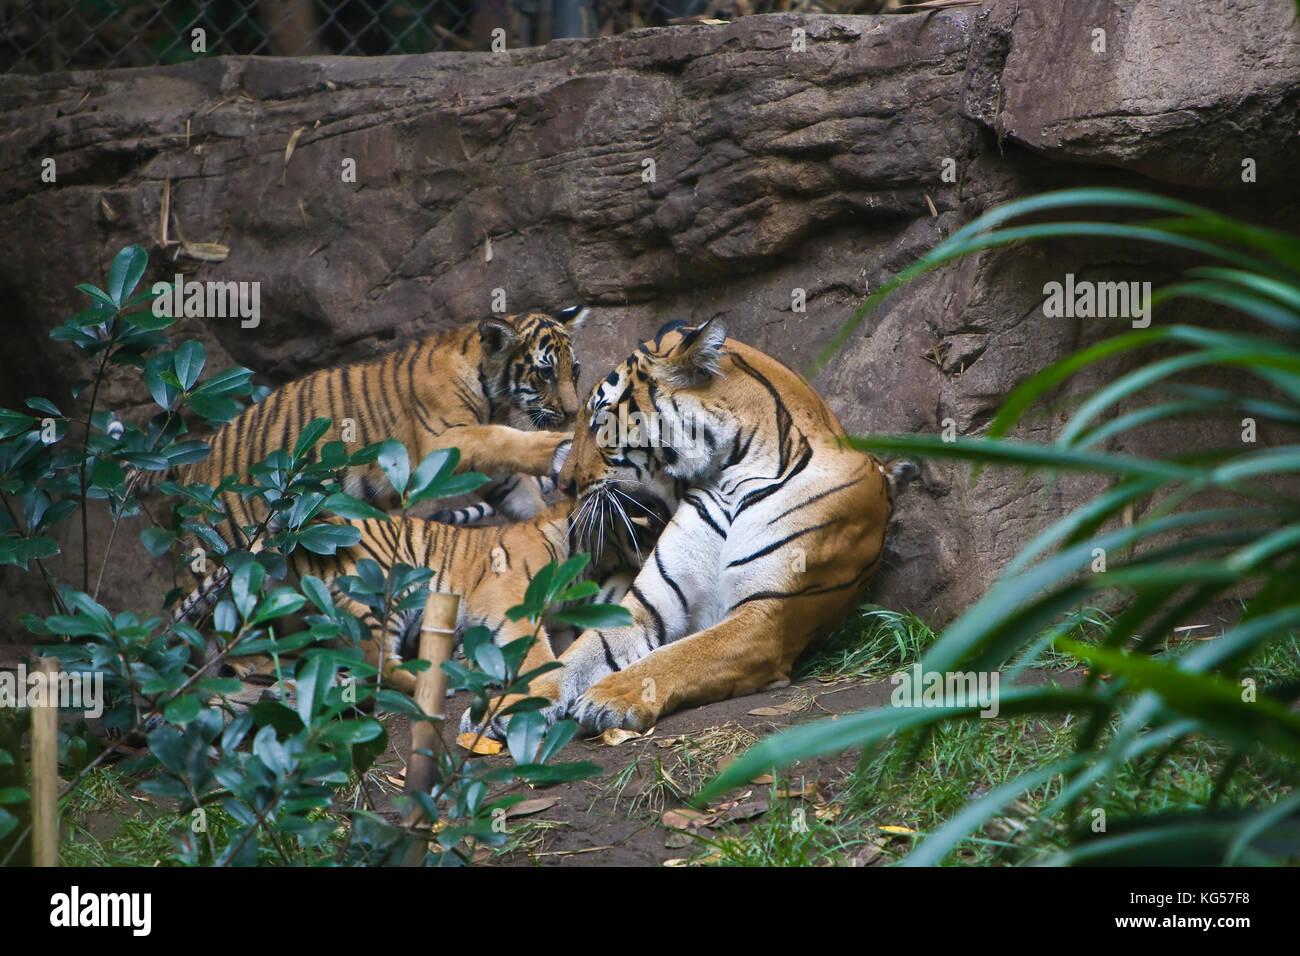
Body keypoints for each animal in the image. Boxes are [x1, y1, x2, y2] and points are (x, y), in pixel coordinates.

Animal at [463, 318, 917, 736]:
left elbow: (682, 655)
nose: (563, 484)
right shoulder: (647, 605)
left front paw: (612, 695)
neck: (732, 472)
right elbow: (577, 653)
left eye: (599, 419)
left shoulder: (766, 615)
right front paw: (510, 705)